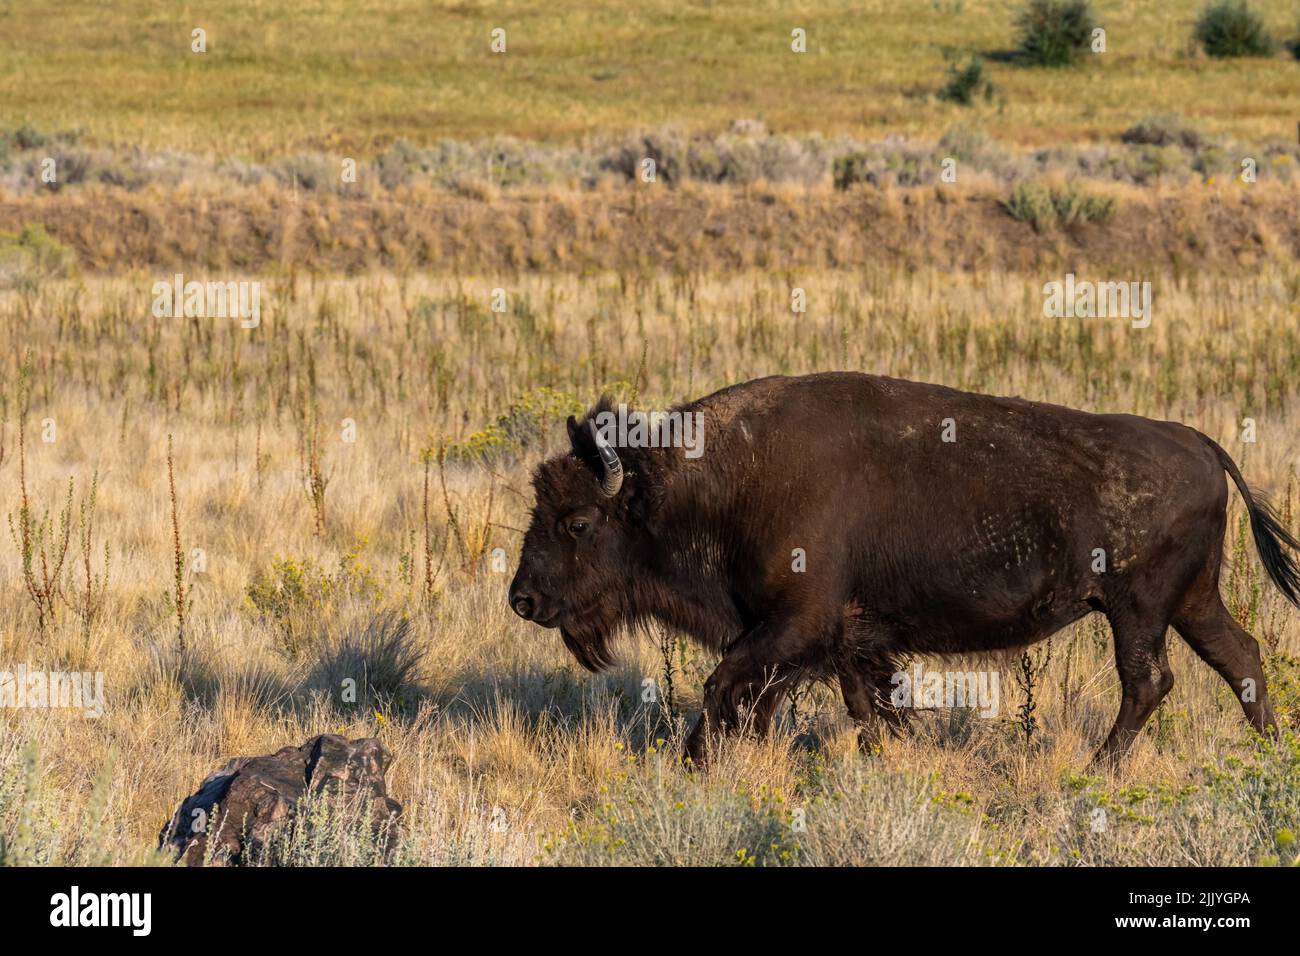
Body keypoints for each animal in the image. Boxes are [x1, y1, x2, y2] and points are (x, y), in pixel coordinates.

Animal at [509, 372, 1299, 767]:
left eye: (577, 522)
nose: (522, 599)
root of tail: (1199, 442)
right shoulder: (851, 641)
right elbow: (868, 710)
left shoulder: (793, 627)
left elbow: (725, 687)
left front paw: (697, 764)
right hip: (1191, 602)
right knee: (1240, 657)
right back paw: (1270, 755)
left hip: (1139, 609)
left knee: (1148, 681)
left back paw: (1096, 771)